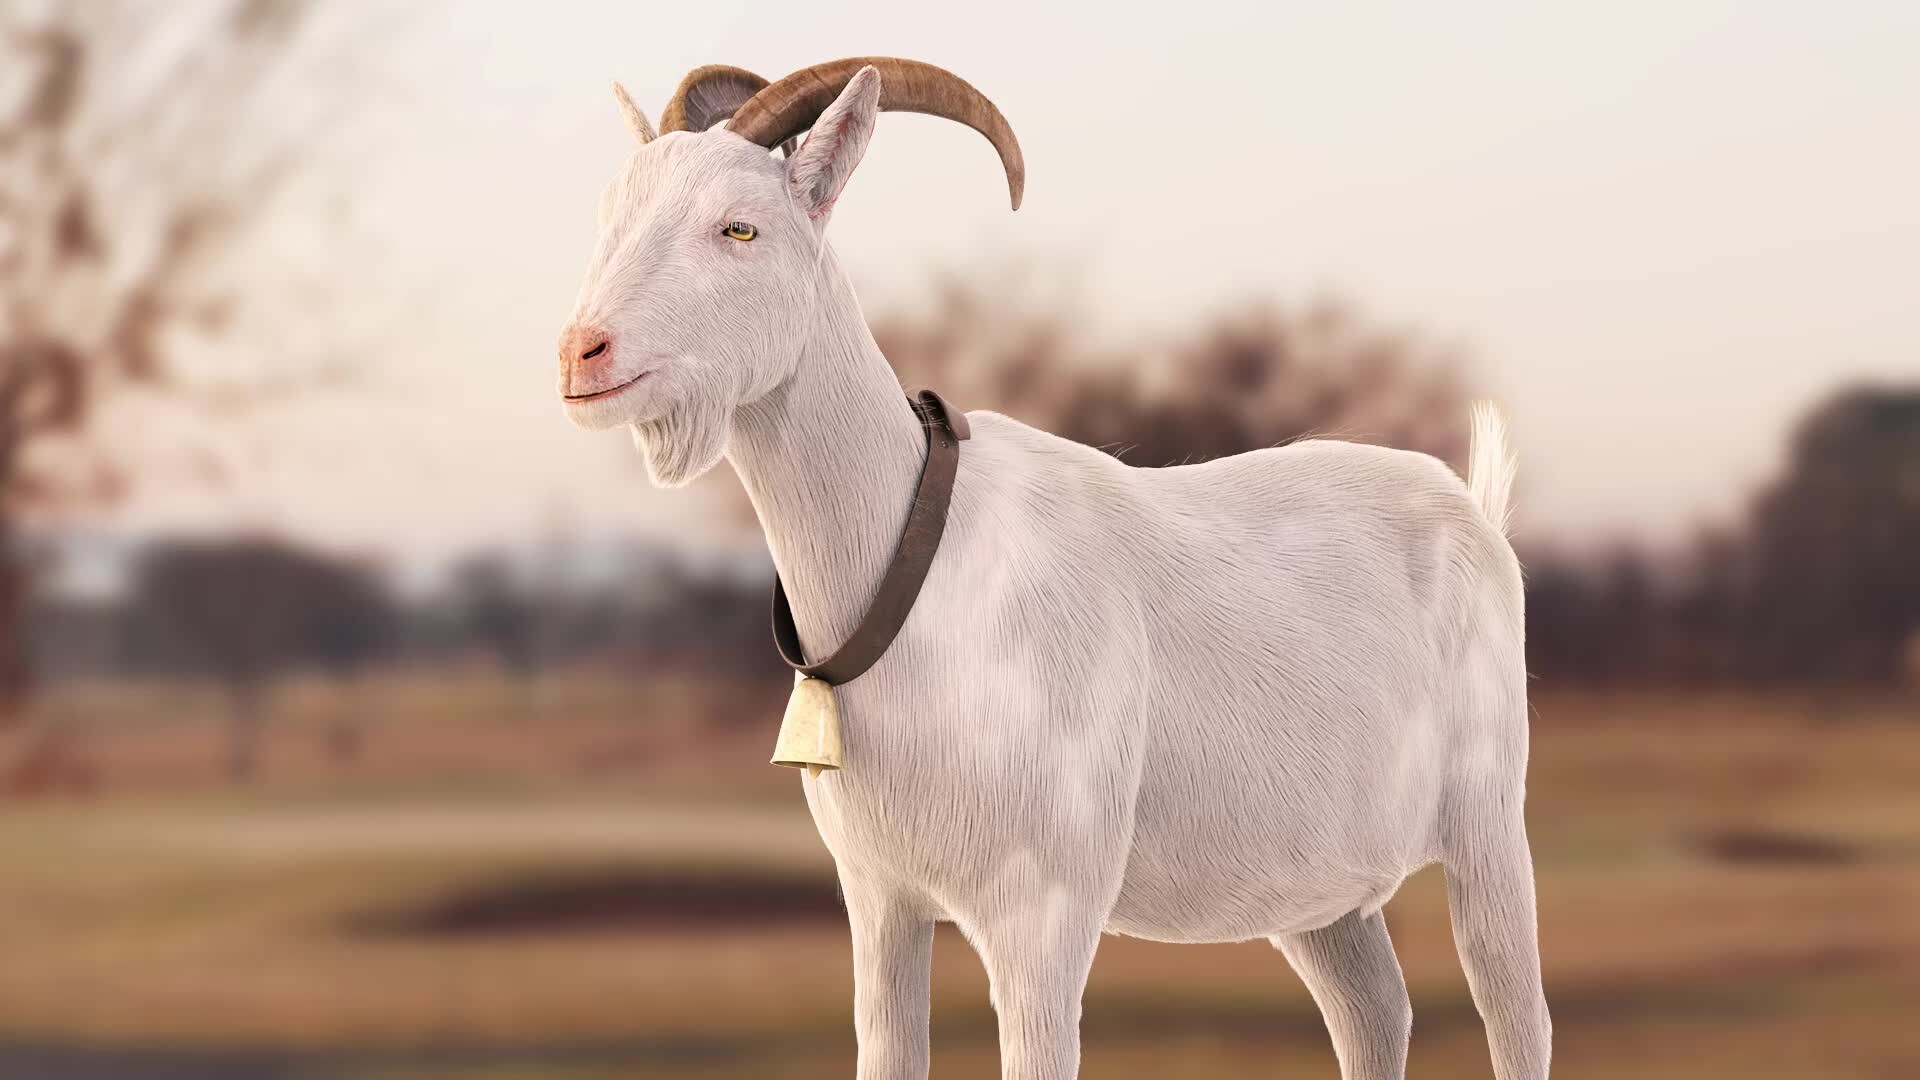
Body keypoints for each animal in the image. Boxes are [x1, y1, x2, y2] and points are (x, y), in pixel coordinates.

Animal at [557, 57, 1550, 1080]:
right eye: (610, 214)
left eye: (739, 227)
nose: (583, 354)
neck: (917, 561)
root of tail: (1474, 511)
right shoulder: (882, 901)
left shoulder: (1041, 915)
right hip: (1318, 892)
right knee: (1373, 1010)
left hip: (1487, 829)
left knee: (1516, 1014)